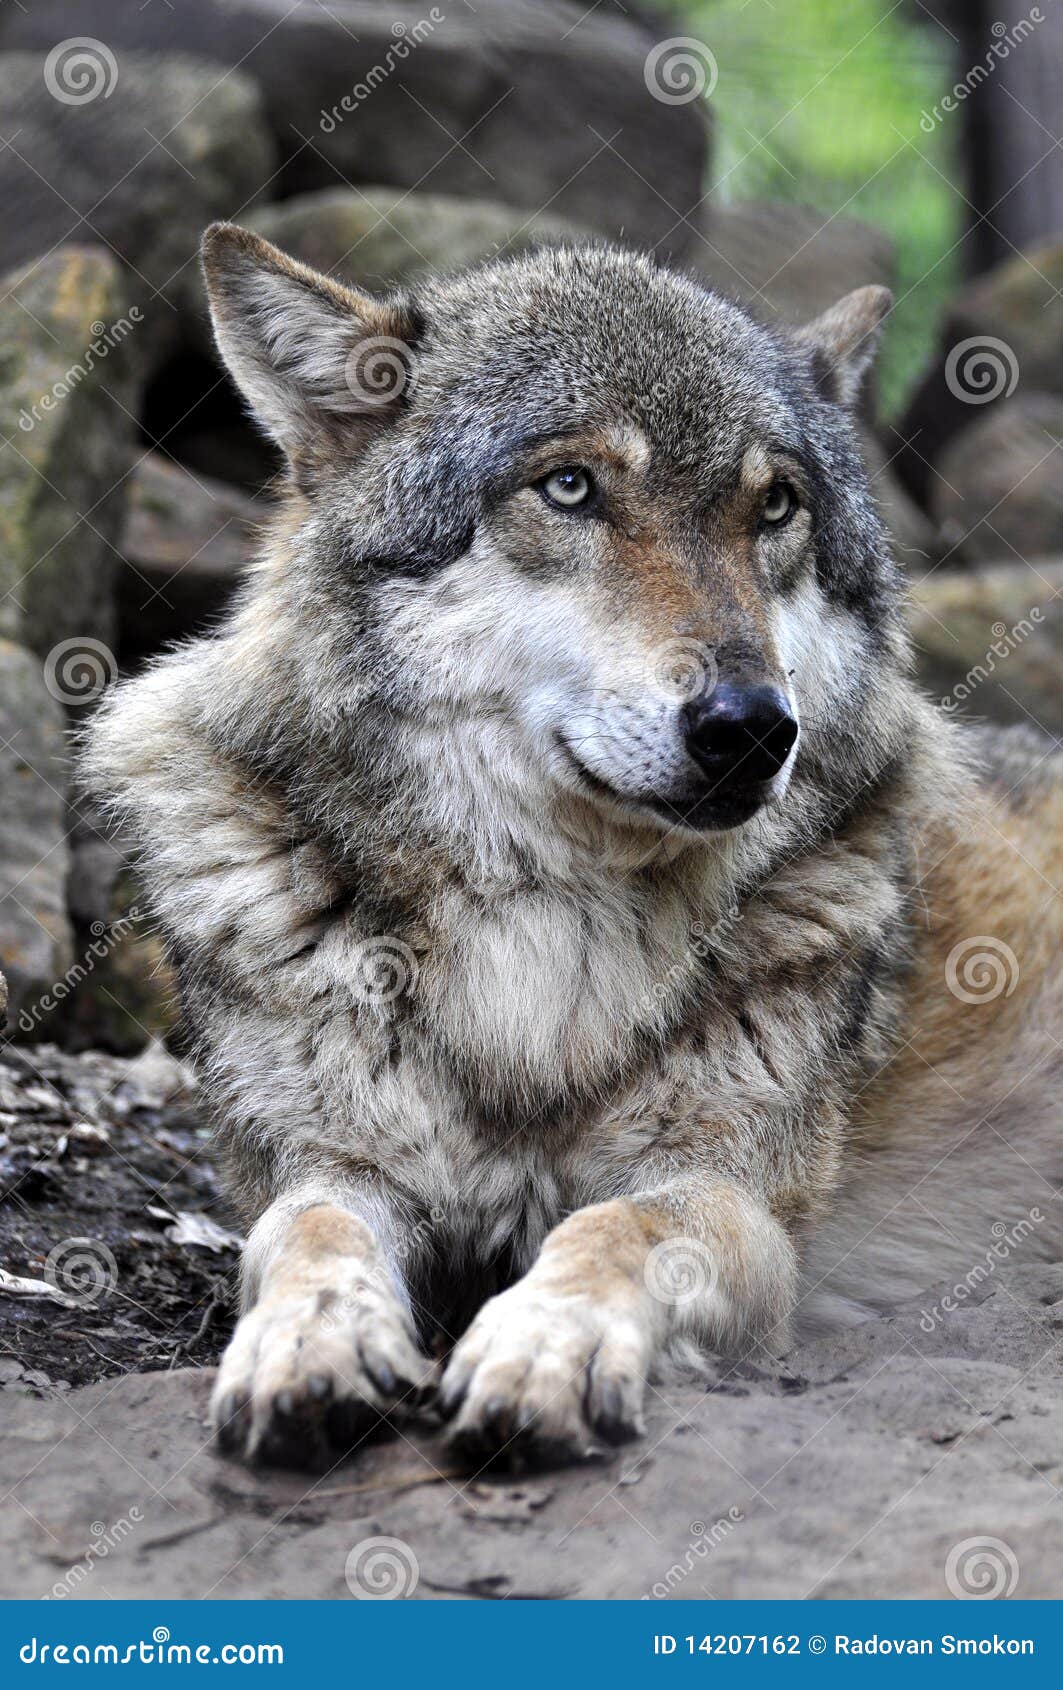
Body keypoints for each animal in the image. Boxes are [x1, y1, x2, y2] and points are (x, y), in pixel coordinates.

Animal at [86, 224, 1063, 1469]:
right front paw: (308, 1344)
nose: (750, 728)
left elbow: (613, 1226)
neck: (547, 928)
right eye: (570, 487)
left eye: (775, 506)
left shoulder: (730, 1194)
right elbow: (305, 1237)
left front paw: (543, 1345)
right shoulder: (331, 1167)